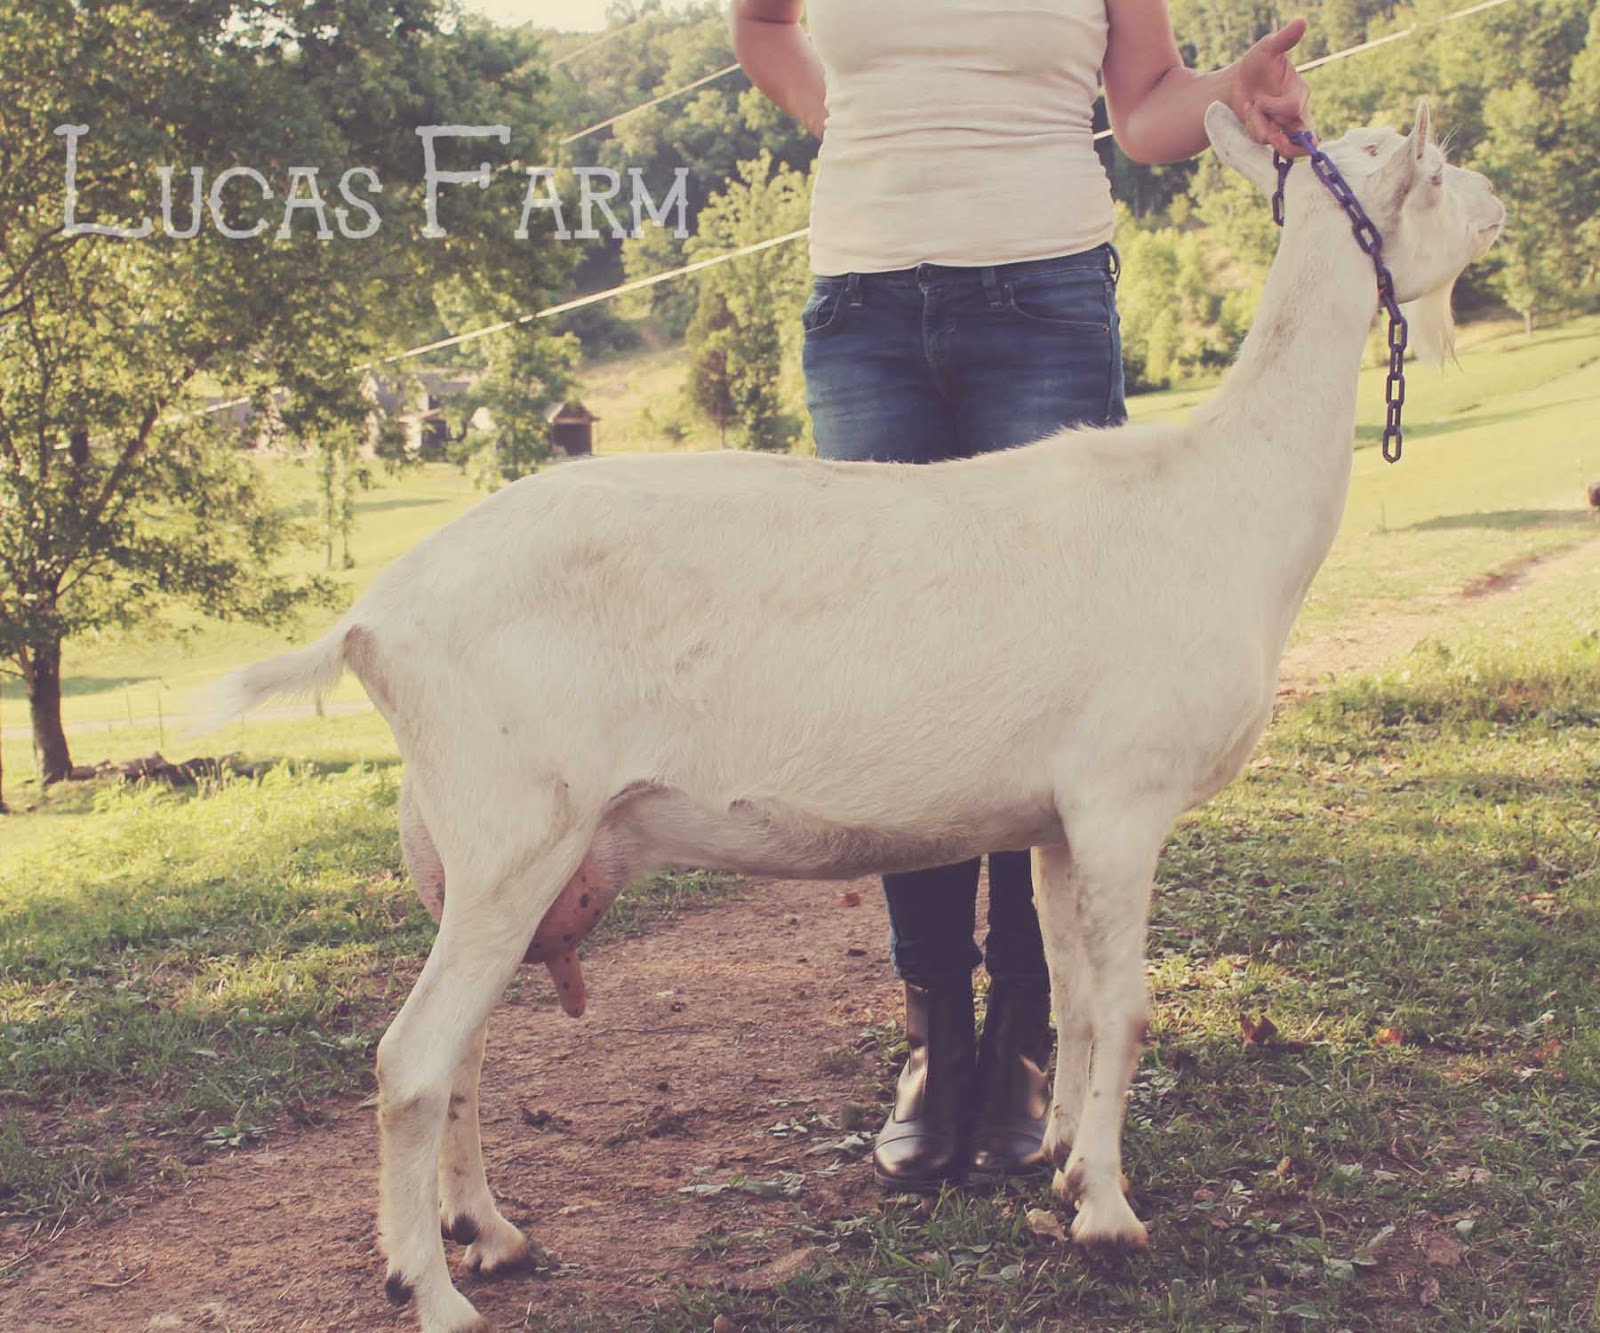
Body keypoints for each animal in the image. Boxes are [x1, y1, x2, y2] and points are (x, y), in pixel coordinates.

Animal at [210, 103, 1503, 1332]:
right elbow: (1131, 1006)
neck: (1224, 496)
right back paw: (432, 1290)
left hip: (462, 851)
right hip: (514, 828)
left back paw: (490, 1231)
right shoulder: (1126, 797)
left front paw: (1060, 1168)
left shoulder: (1060, 819)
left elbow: (1075, 998)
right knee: (413, 1057)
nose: (1494, 203)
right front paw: (1111, 1217)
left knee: (464, 1053)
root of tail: (371, 620)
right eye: (1432, 171)